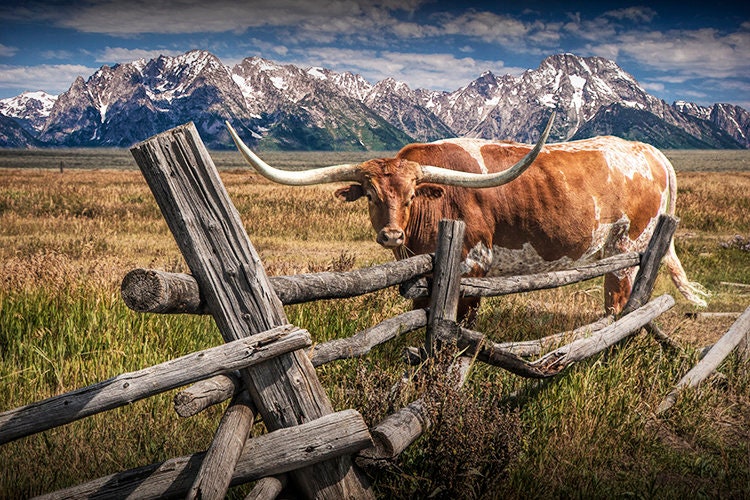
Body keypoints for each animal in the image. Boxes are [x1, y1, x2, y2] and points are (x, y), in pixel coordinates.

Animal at [226, 115, 707, 321]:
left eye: (411, 194)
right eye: (371, 195)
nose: (391, 234)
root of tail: (649, 151)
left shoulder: (473, 266)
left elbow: (462, 322)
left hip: (628, 247)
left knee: (619, 301)